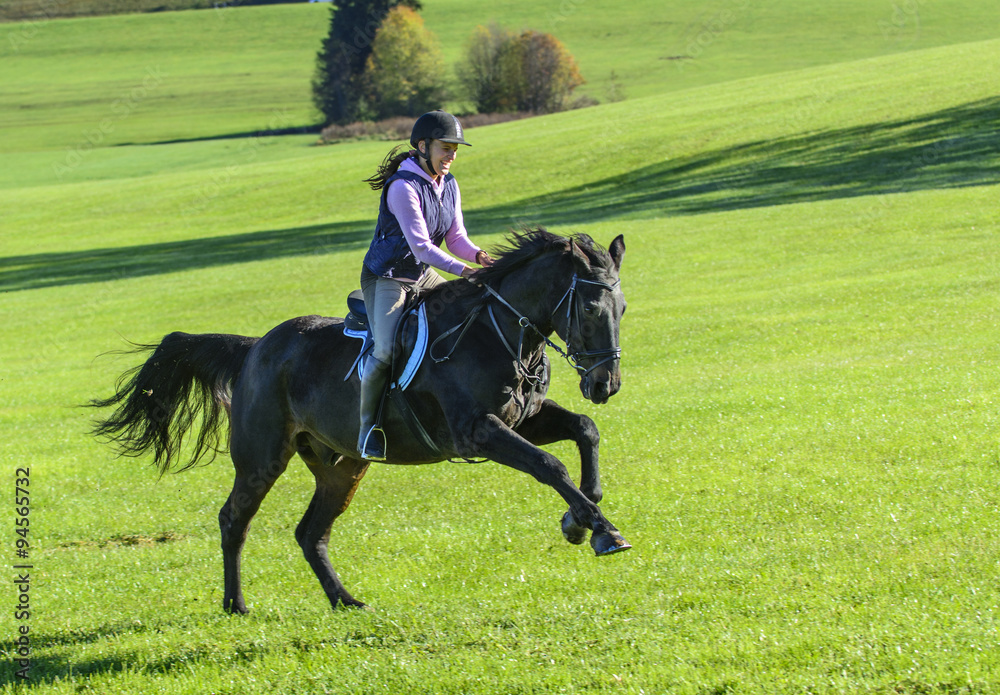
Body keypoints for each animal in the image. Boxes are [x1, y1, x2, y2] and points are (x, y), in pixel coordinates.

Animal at [90, 228, 629, 613]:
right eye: (589, 307)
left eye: (621, 308)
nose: (606, 384)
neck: (498, 333)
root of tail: (255, 348)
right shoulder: (477, 432)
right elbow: (549, 466)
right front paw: (602, 531)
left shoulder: (522, 421)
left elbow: (585, 430)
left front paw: (580, 519)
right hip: (262, 459)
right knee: (233, 520)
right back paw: (235, 604)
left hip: (343, 466)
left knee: (310, 532)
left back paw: (345, 600)